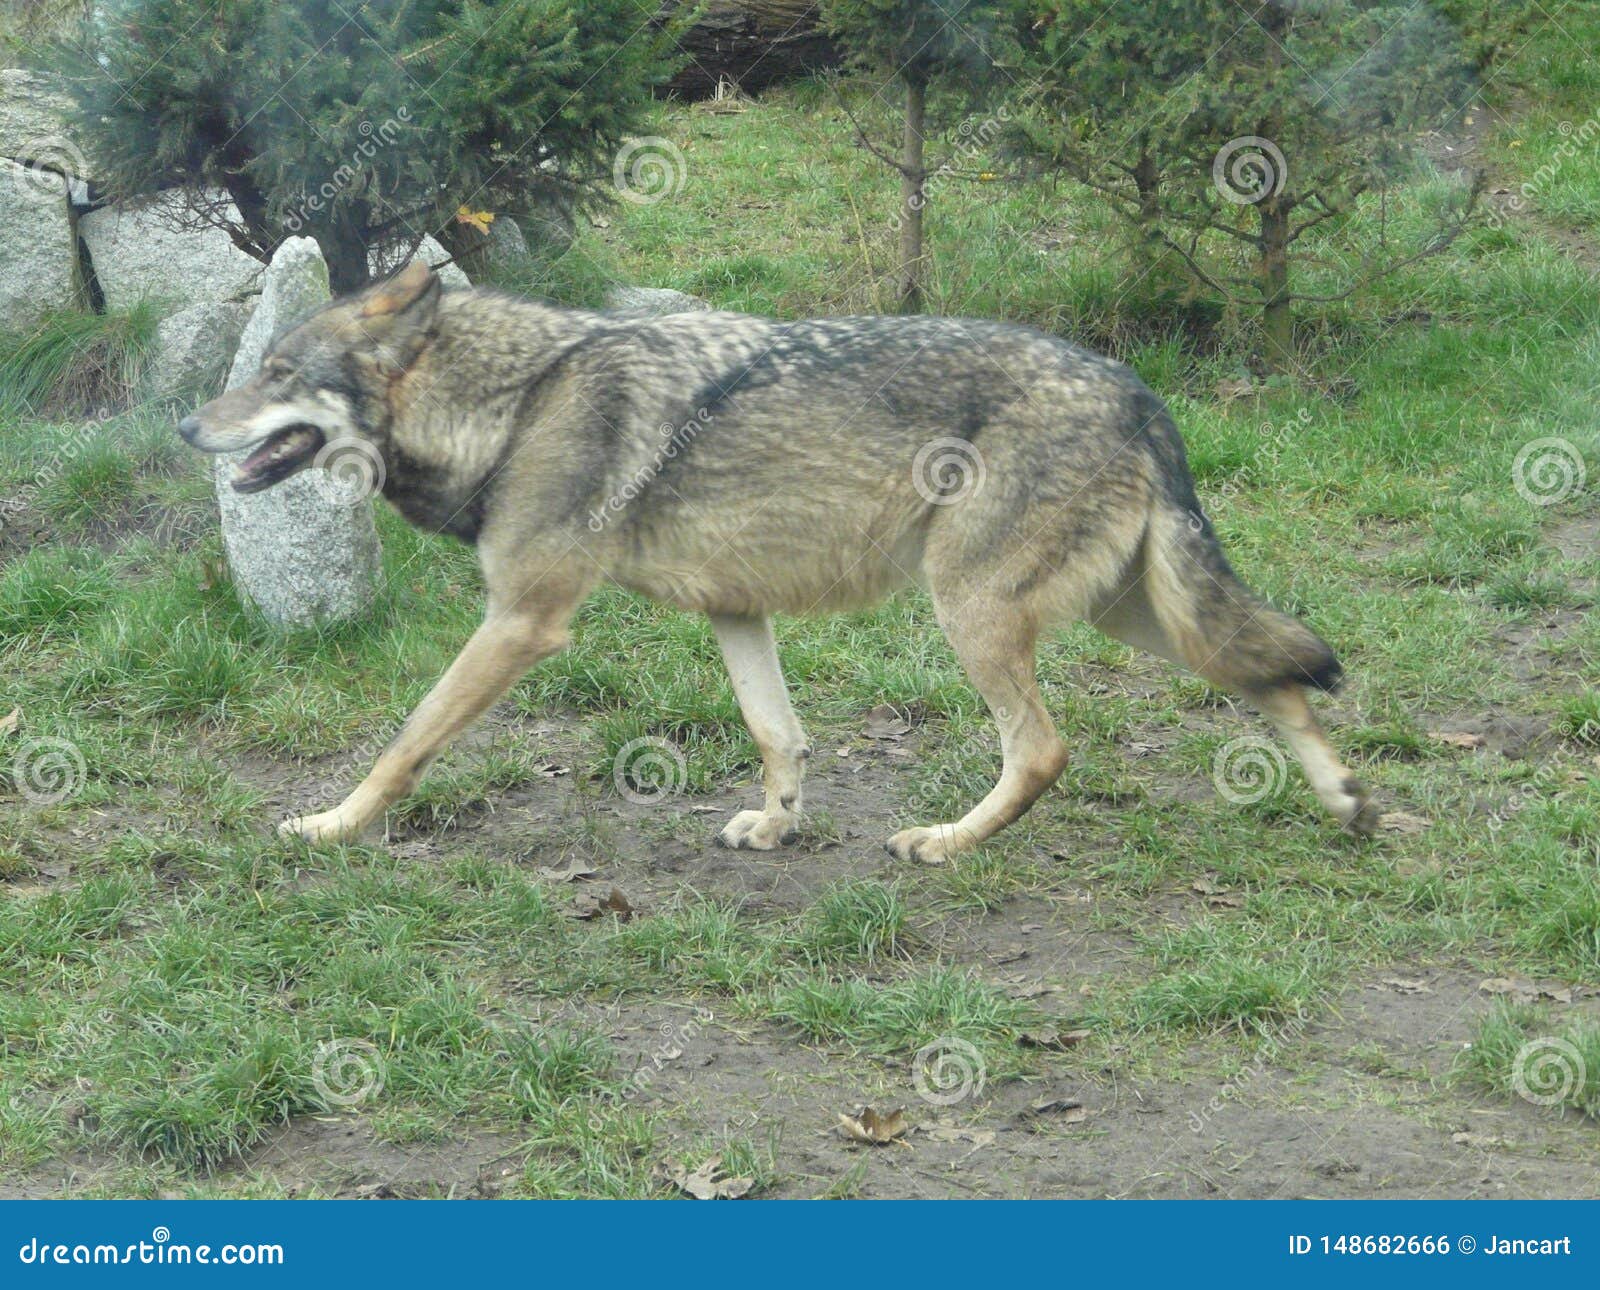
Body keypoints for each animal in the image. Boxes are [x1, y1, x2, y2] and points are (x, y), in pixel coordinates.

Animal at [179, 262, 1376, 861]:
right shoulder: (733, 610)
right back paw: (1349, 802)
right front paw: (778, 824)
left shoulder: (521, 622)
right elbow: (777, 733)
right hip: (1133, 614)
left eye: (277, 372)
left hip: (974, 611)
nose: (189, 428)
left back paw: (945, 843)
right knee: (1273, 675)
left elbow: (405, 743)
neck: (517, 406)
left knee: (1043, 750)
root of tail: (1139, 392)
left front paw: (329, 827)